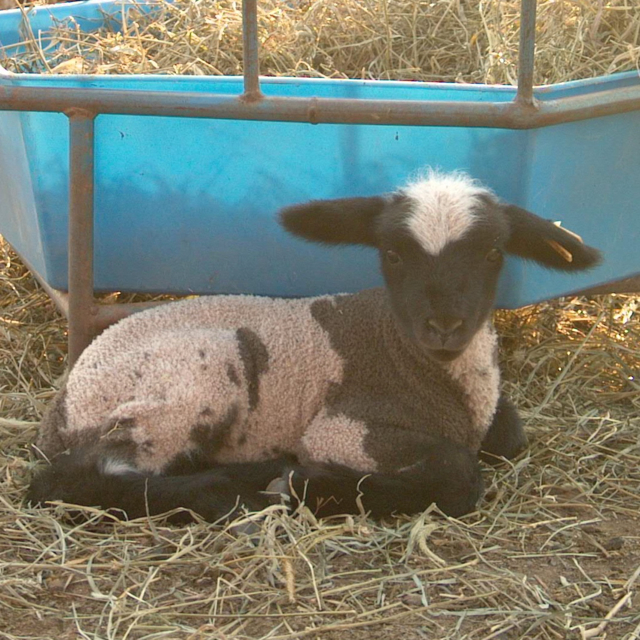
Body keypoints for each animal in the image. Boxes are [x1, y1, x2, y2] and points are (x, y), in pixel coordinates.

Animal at [28, 170, 602, 522]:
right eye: (393, 254)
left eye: (494, 254)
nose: (444, 325)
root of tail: (61, 408)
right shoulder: (343, 428)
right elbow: (460, 473)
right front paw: (316, 485)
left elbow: (509, 438)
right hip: (185, 381)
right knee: (70, 482)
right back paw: (235, 489)